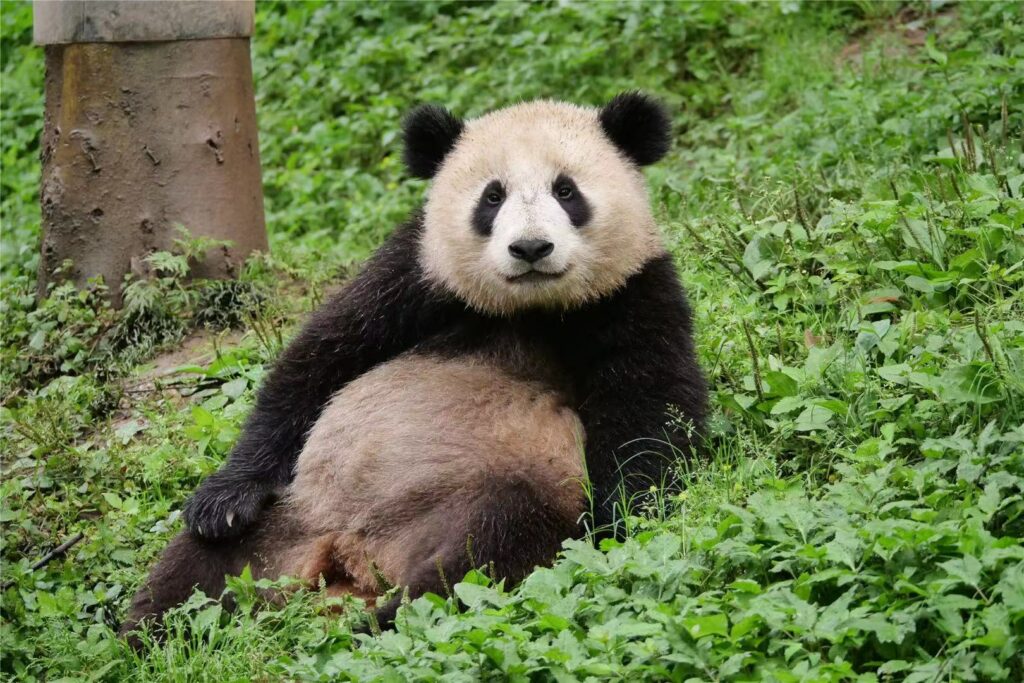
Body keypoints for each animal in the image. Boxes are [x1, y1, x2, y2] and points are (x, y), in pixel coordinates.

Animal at [121, 92, 708, 637]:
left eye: (567, 191)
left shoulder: (634, 292)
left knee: (493, 546)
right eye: (492, 196)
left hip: (485, 494)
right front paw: (223, 500)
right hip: (292, 518)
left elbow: (651, 414)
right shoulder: (415, 273)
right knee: (196, 571)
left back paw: (388, 617)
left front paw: (618, 528)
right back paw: (147, 633)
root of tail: (355, 558)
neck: (531, 308)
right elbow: (318, 363)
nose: (530, 248)